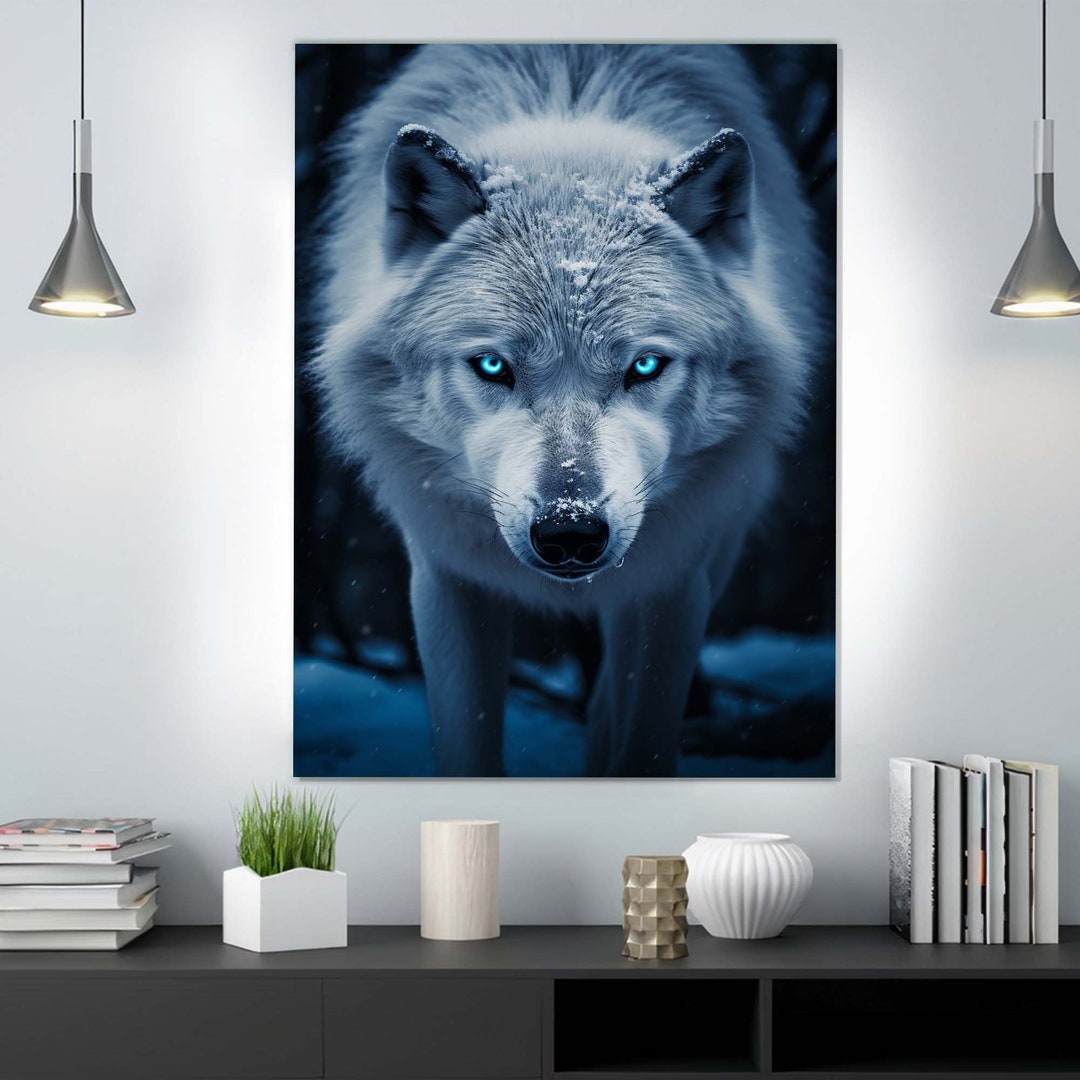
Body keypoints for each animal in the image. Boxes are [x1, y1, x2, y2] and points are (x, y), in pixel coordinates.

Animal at [312, 44, 824, 777]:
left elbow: (643, 747)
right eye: (492, 366)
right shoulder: (445, 576)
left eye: (645, 367)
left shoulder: (675, 581)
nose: (571, 532)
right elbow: (468, 749)